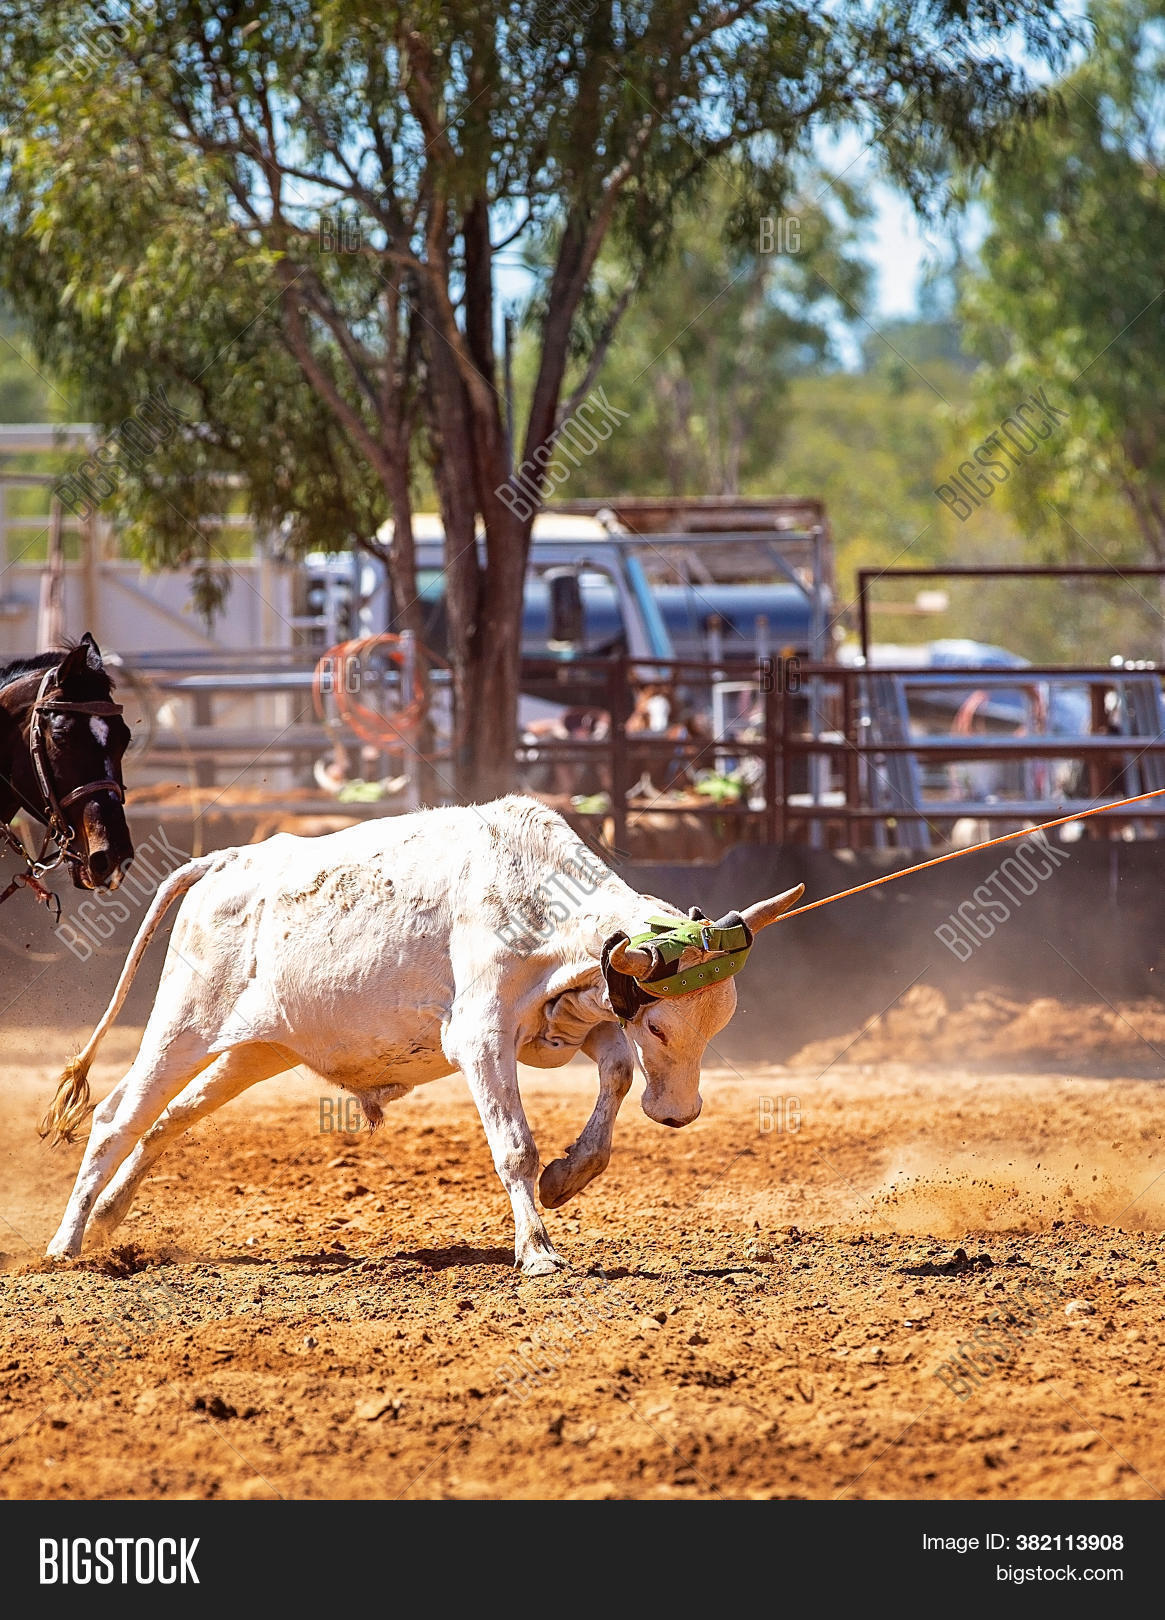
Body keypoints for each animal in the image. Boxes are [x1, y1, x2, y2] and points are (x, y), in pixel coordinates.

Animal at [41, 796, 802, 1274]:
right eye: (659, 1023)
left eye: (718, 1022)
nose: (678, 1113)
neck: (540, 902)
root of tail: (225, 862)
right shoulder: (480, 1039)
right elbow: (514, 1147)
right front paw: (538, 1250)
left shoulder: (564, 1024)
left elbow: (613, 1076)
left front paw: (567, 1177)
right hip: (184, 1022)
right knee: (117, 1116)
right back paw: (66, 1242)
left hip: (257, 1050)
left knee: (169, 1117)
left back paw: (108, 1214)